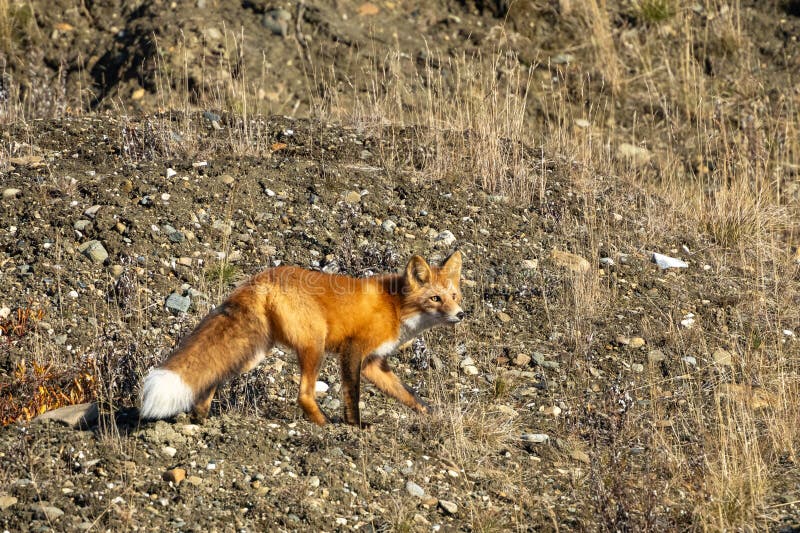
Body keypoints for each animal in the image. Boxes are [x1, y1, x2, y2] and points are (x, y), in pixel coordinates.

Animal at [139, 251, 464, 427]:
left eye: (454, 295)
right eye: (436, 299)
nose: (461, 314)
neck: (395, 307)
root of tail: (260, 278)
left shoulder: (373, 363)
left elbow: (408, 395)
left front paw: (432, 415)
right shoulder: (353, 351)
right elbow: (352, 395)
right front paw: (355, 426)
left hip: (252, 354)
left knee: (211, 379)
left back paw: (201, 418)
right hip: (314, 346)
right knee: (304, 394)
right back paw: (326, 425)